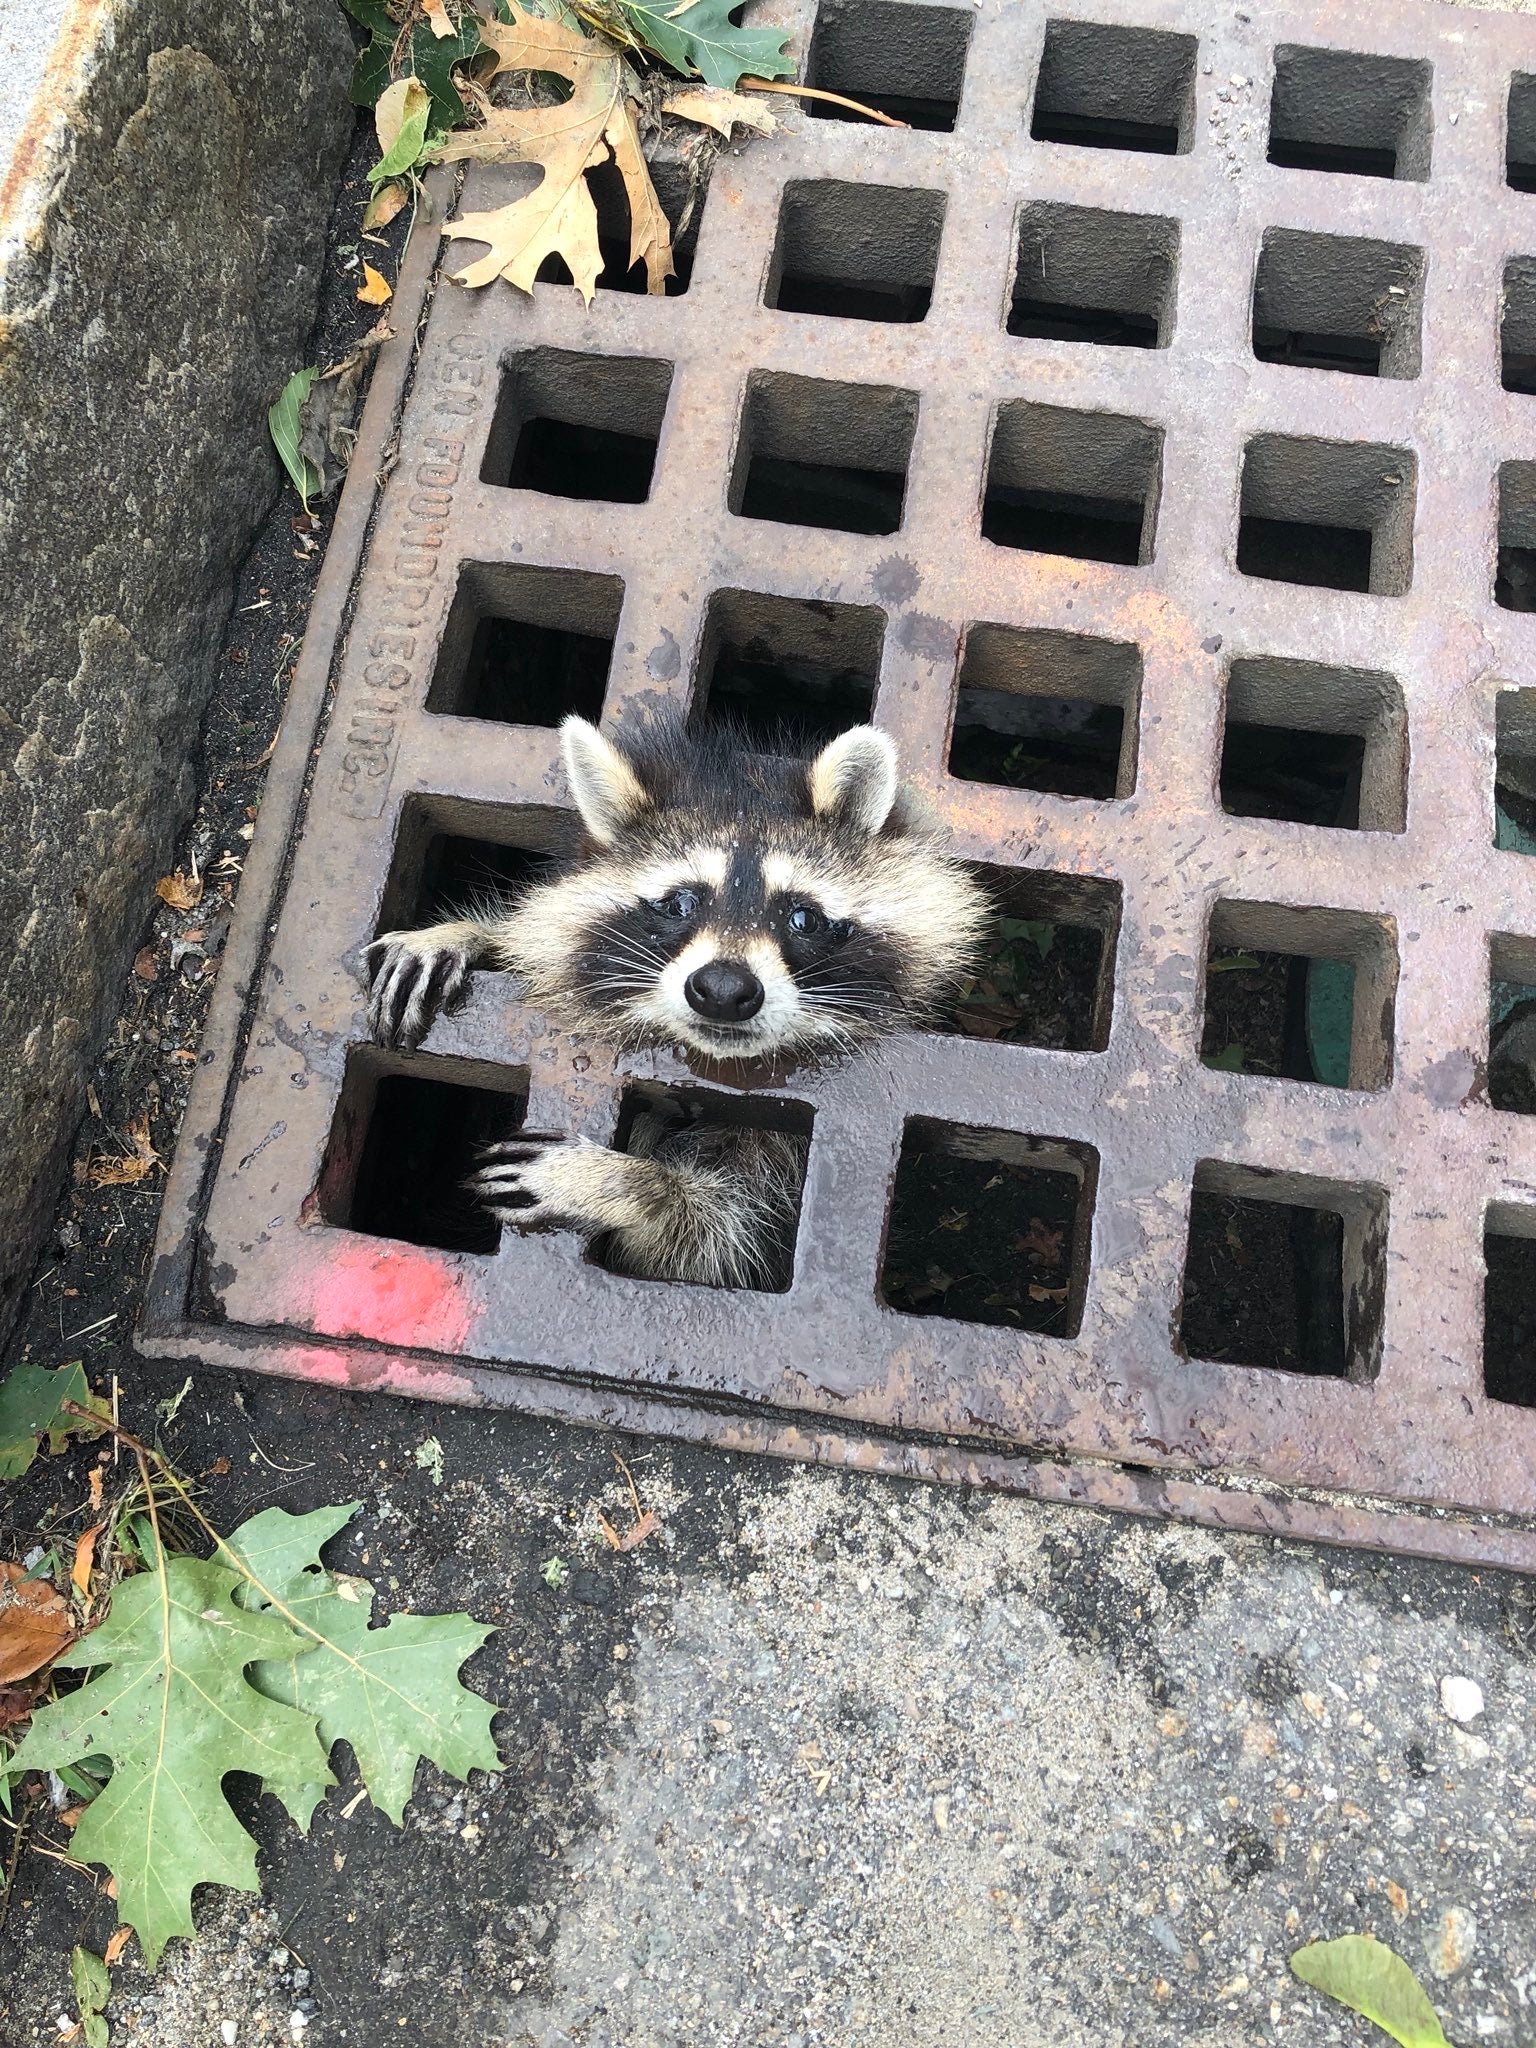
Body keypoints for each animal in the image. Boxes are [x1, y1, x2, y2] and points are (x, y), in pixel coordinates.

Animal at [364, 716, 990, 1287]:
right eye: (680, 903)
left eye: (803, 917)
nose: (724, 991)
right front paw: (468, 934)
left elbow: (715, 1237)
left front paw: (630, 1184)